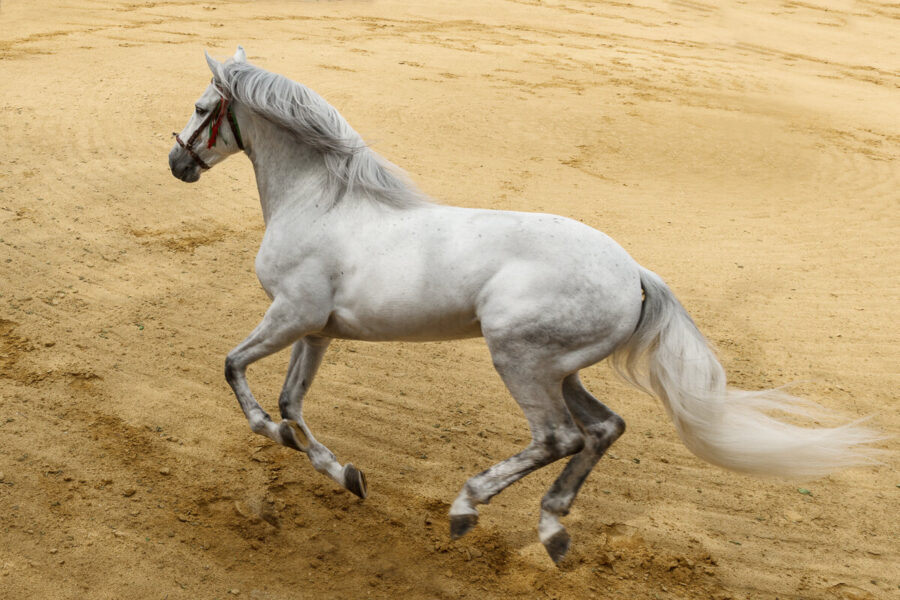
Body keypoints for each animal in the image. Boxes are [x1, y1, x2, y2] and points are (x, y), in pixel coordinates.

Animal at [168, 46, 880, 564]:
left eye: (203, 106)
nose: (177, 160)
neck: (320, 202)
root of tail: (634, 271)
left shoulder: (288, 317)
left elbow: (235, 369)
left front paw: (274, 436)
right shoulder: (317, 331)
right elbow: (293, 403)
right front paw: (344, 474)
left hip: (519, 358)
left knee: (560, 436)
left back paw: (467, 507)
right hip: (559, 369)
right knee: (604, 429)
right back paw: (552, 531)